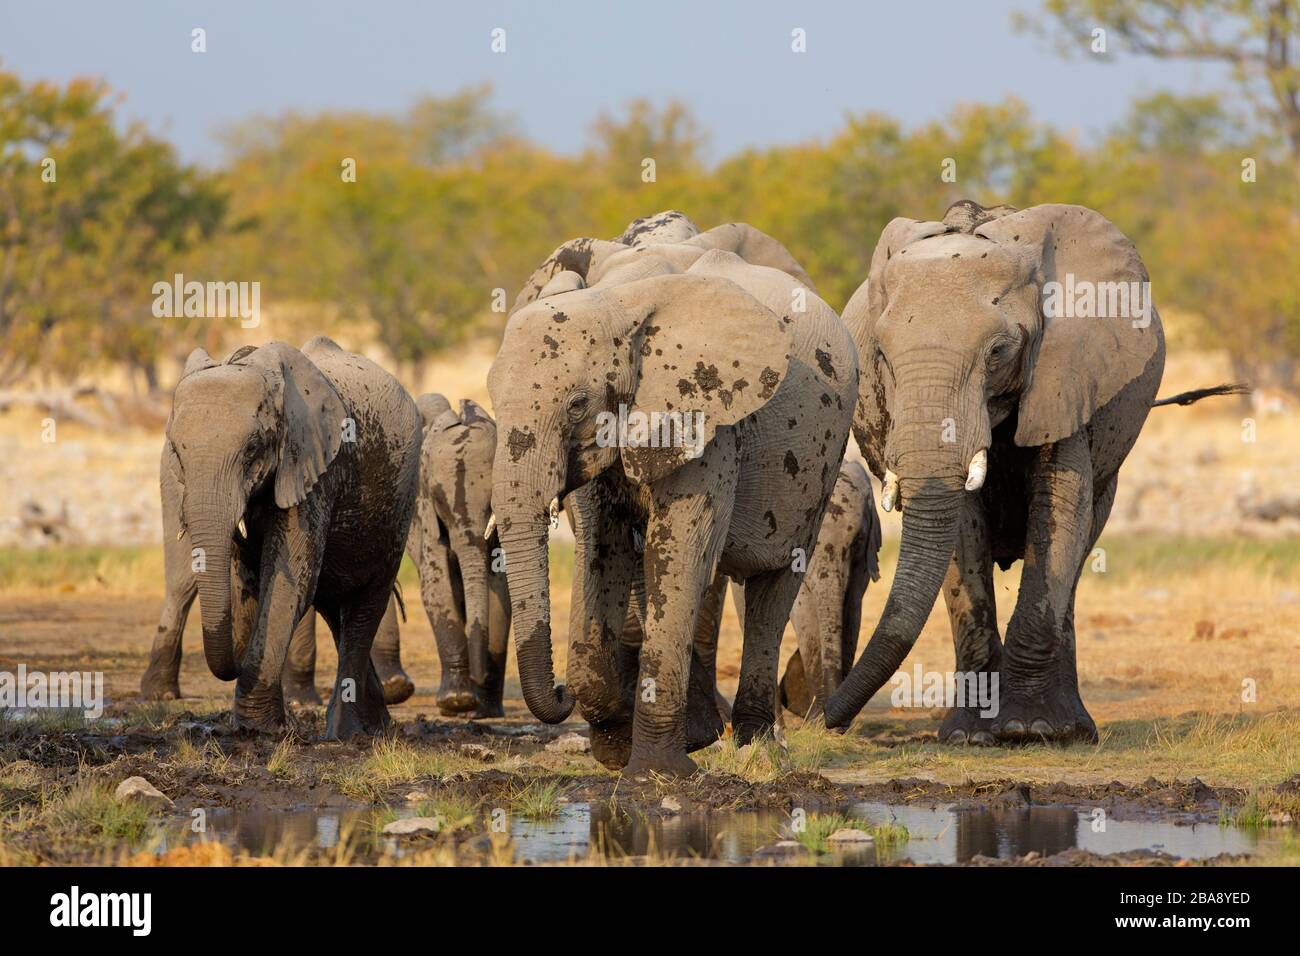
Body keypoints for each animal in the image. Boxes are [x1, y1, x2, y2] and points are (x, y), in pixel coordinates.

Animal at [407, 394, 510, 718]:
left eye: (493, 499)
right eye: (440, 501)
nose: (479, 675)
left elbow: (501, 590)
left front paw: (483, 709)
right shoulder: (424, 512)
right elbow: (436, 588)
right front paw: (457, 702)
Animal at [490, 210, 858, 775]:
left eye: (576, 404)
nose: (557, 691)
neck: (618, 302)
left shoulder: (709, 415)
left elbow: (677, 554)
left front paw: (657, 773)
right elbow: (606, 548)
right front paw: (621, 745)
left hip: (823, 459)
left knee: (772, 587)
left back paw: (755, 744)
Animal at [824, 200, 1235, 743]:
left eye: (998, 351)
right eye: (881, 357)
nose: (824, 720)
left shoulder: (1067, 375)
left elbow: (1060, 506)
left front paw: (1027, 728)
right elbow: (962, 528)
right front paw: (971, 736)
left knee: (1077, 556)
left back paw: (1072, 729)